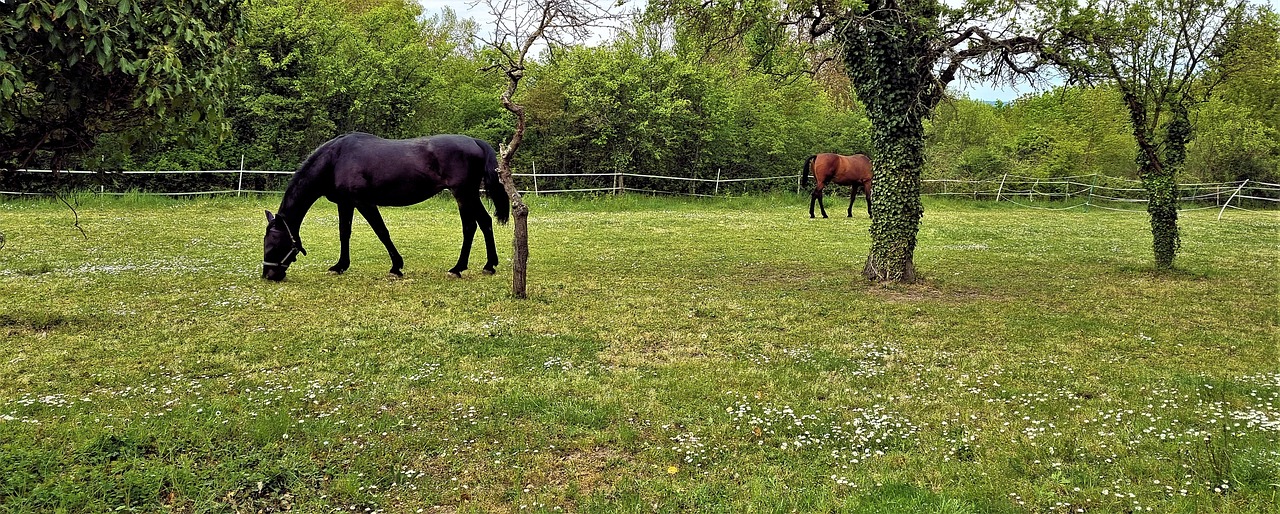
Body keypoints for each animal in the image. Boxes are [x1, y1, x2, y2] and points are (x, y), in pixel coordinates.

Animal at [262, 132, 510, 282]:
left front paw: (396, 267)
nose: (269, 275)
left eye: (272, 244)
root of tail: (475, 142)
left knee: (470, 226)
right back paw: (489, 265)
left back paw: (458, 268)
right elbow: (344, 233)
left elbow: (382, 232)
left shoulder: (364, 202)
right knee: (485, 222)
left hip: (464, 194)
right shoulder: (345, 203)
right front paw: (340, 265)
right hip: (469, 195)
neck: (336, 159)